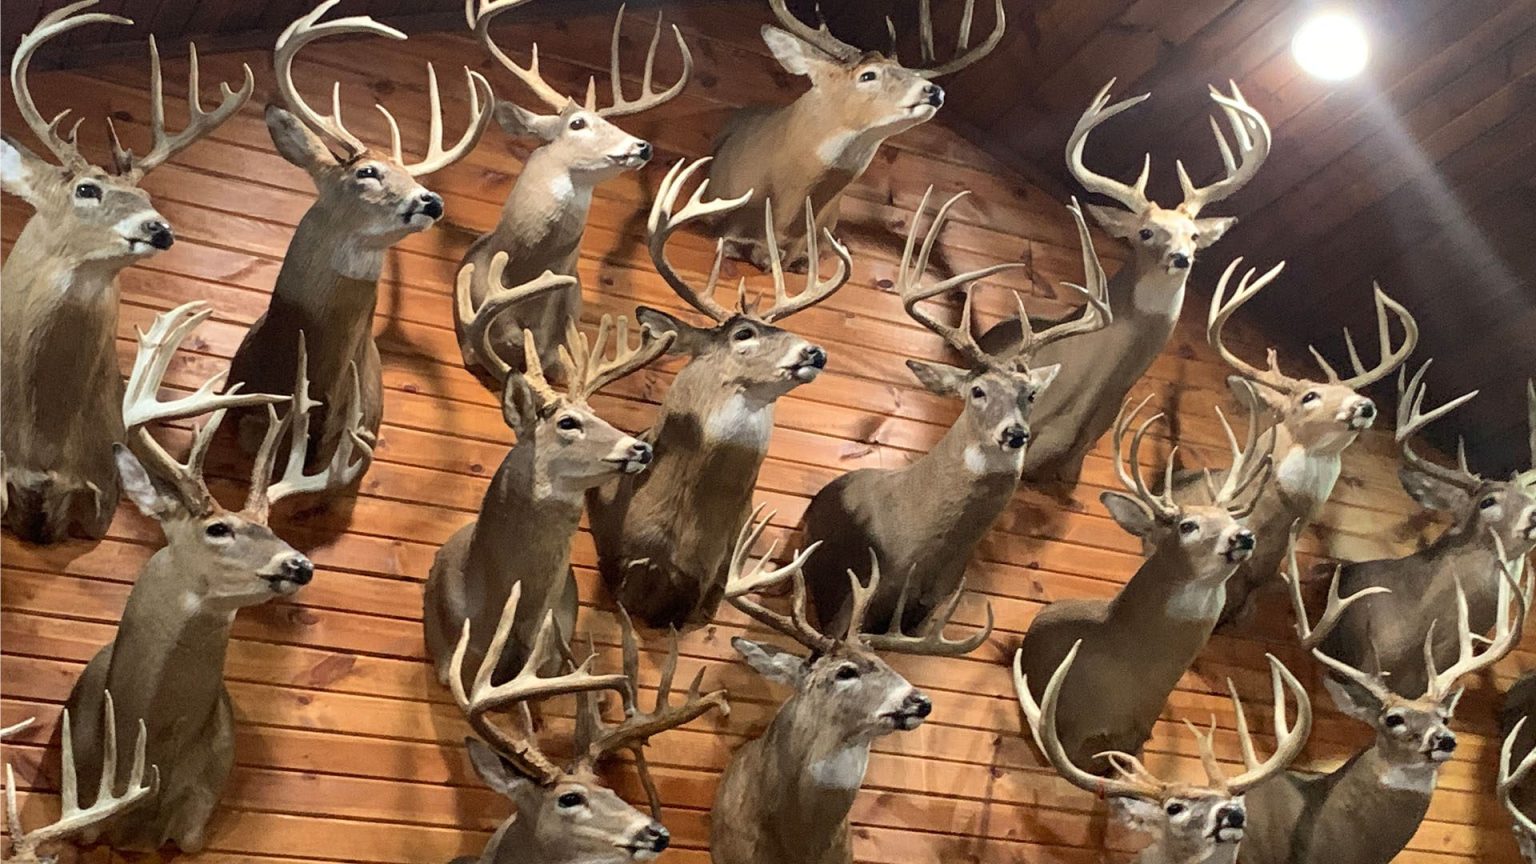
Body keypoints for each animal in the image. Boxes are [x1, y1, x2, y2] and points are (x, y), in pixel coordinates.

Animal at [801, 190, 1109, 637]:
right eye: (977, 391)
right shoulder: (853, 600)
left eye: (1031, 394)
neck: (921, 553)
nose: (1015, 433)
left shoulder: (928, 614)